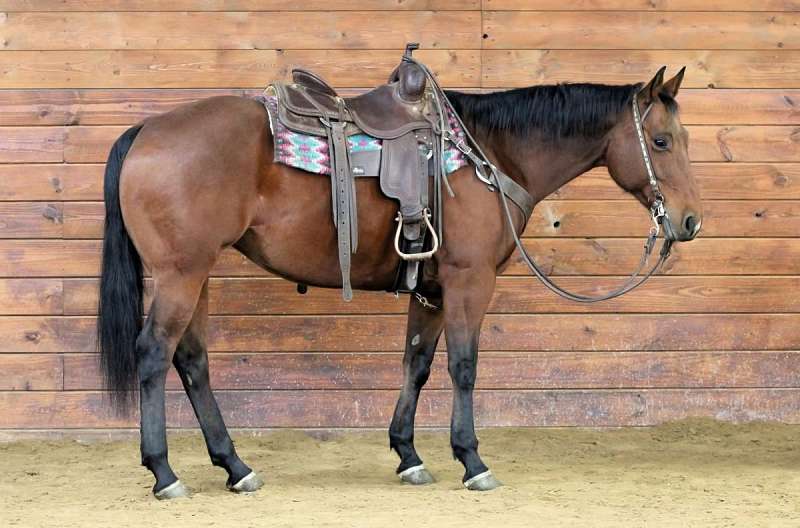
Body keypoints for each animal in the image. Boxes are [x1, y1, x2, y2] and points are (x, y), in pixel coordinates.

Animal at [97, 65, 702, 499]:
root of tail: (146, 130)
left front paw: (409, 455)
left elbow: (417, 362)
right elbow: (463, 367)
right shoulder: (468, 280)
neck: (490, 153)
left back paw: (235, 466)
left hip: (195, 274)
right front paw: (472, 459)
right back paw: (165, 473)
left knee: (192, 360)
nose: (690, 221)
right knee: (154, 354)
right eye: (661, 141)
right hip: (181, 274)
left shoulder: (431, 291)